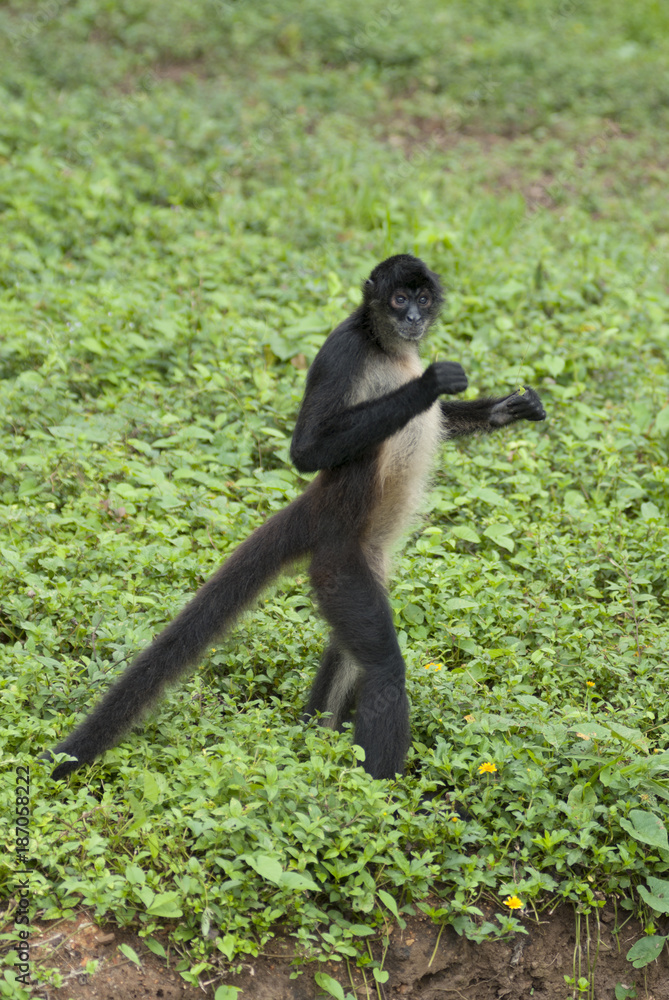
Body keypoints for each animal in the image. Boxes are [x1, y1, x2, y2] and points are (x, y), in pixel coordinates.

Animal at [42, 254, 545, 782]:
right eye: (398, 299)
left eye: (423, 299)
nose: (413, 319)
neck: (385, 348)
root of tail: (319, 508)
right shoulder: (343, 349)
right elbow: (307, 451)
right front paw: (428, 384)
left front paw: (507, 409)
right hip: (337, 565)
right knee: (383, 665)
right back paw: (376, 791)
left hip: (364, 561)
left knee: (348, 651)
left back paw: (316, 742)